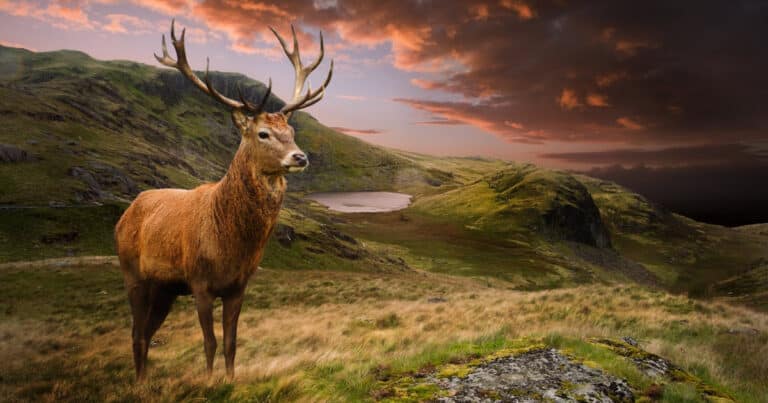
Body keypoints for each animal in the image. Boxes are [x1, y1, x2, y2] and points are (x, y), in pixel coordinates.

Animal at [114, 20, 332, 381]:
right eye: (262, 133)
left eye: (291, 131)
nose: (300, 157)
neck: (230, 244)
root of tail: (124, 215)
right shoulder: (200, 282)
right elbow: (210, 342)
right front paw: (208, 382)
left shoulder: (238, 286)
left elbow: (231, 342)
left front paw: (230, 381)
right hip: (133, 274)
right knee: (136, 334)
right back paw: (138, 384)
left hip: (164, 289)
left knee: (145, 331)